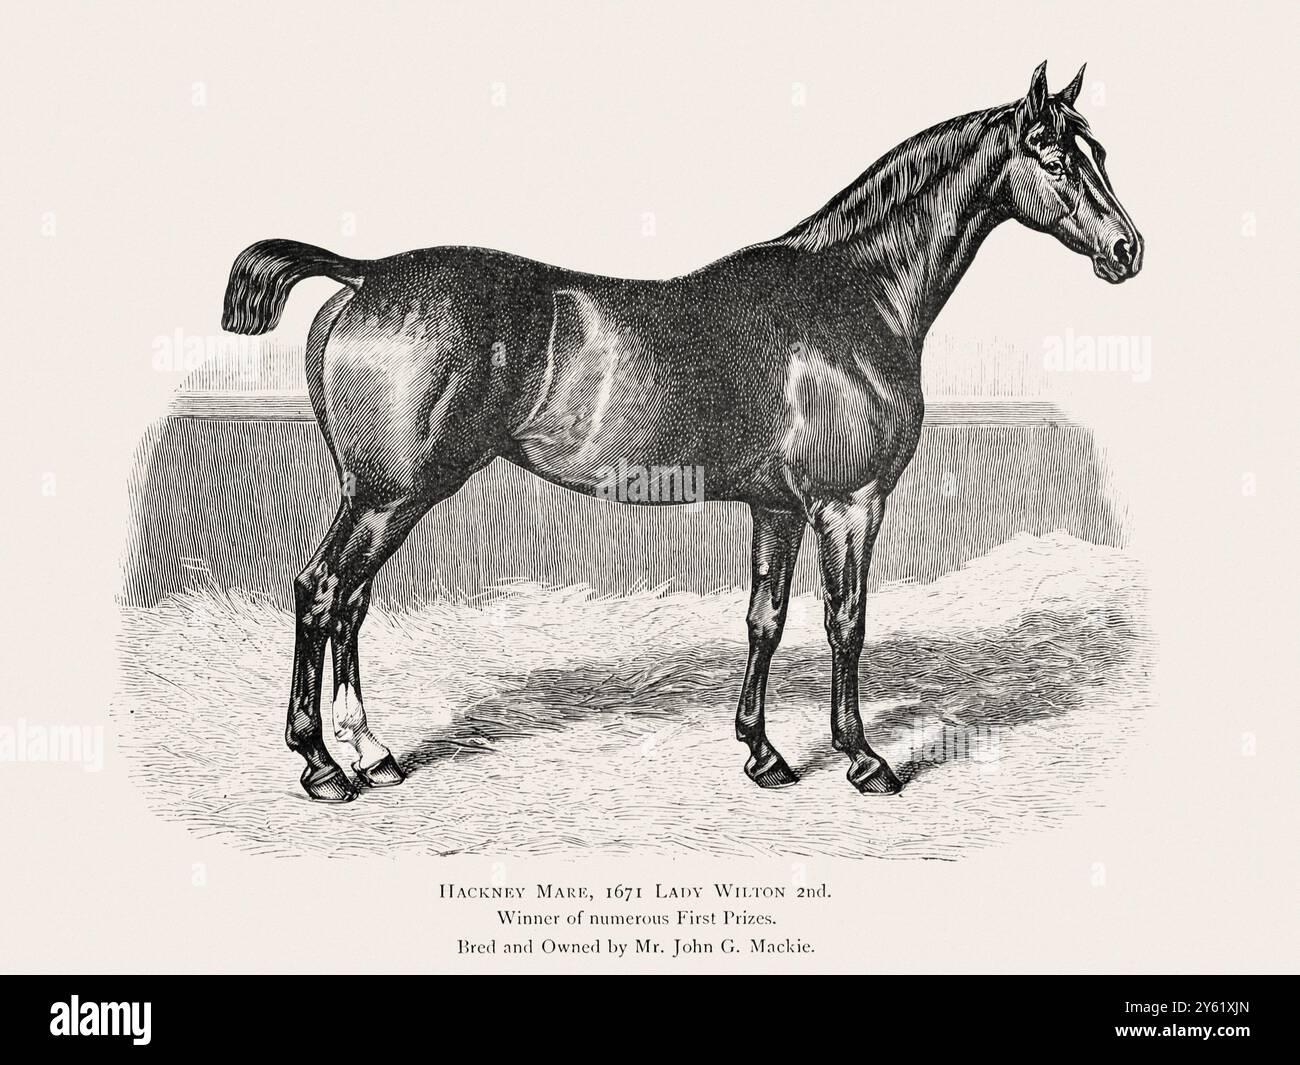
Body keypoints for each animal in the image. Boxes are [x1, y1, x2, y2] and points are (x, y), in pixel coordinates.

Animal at [221, 62, 1142, 803]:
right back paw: (321, 765)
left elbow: (766, 618)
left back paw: (371, 753)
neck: (855, 291)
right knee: (322, 592)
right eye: (1054, 156)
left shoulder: (778, 508)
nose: (1127, 250)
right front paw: (863, 758)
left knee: (351, 603)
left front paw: (763, 753)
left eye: (1099, 153)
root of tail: (365, 276)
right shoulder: (849, 504)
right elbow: (846, 621)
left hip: (388, 498)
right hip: (390, 494)